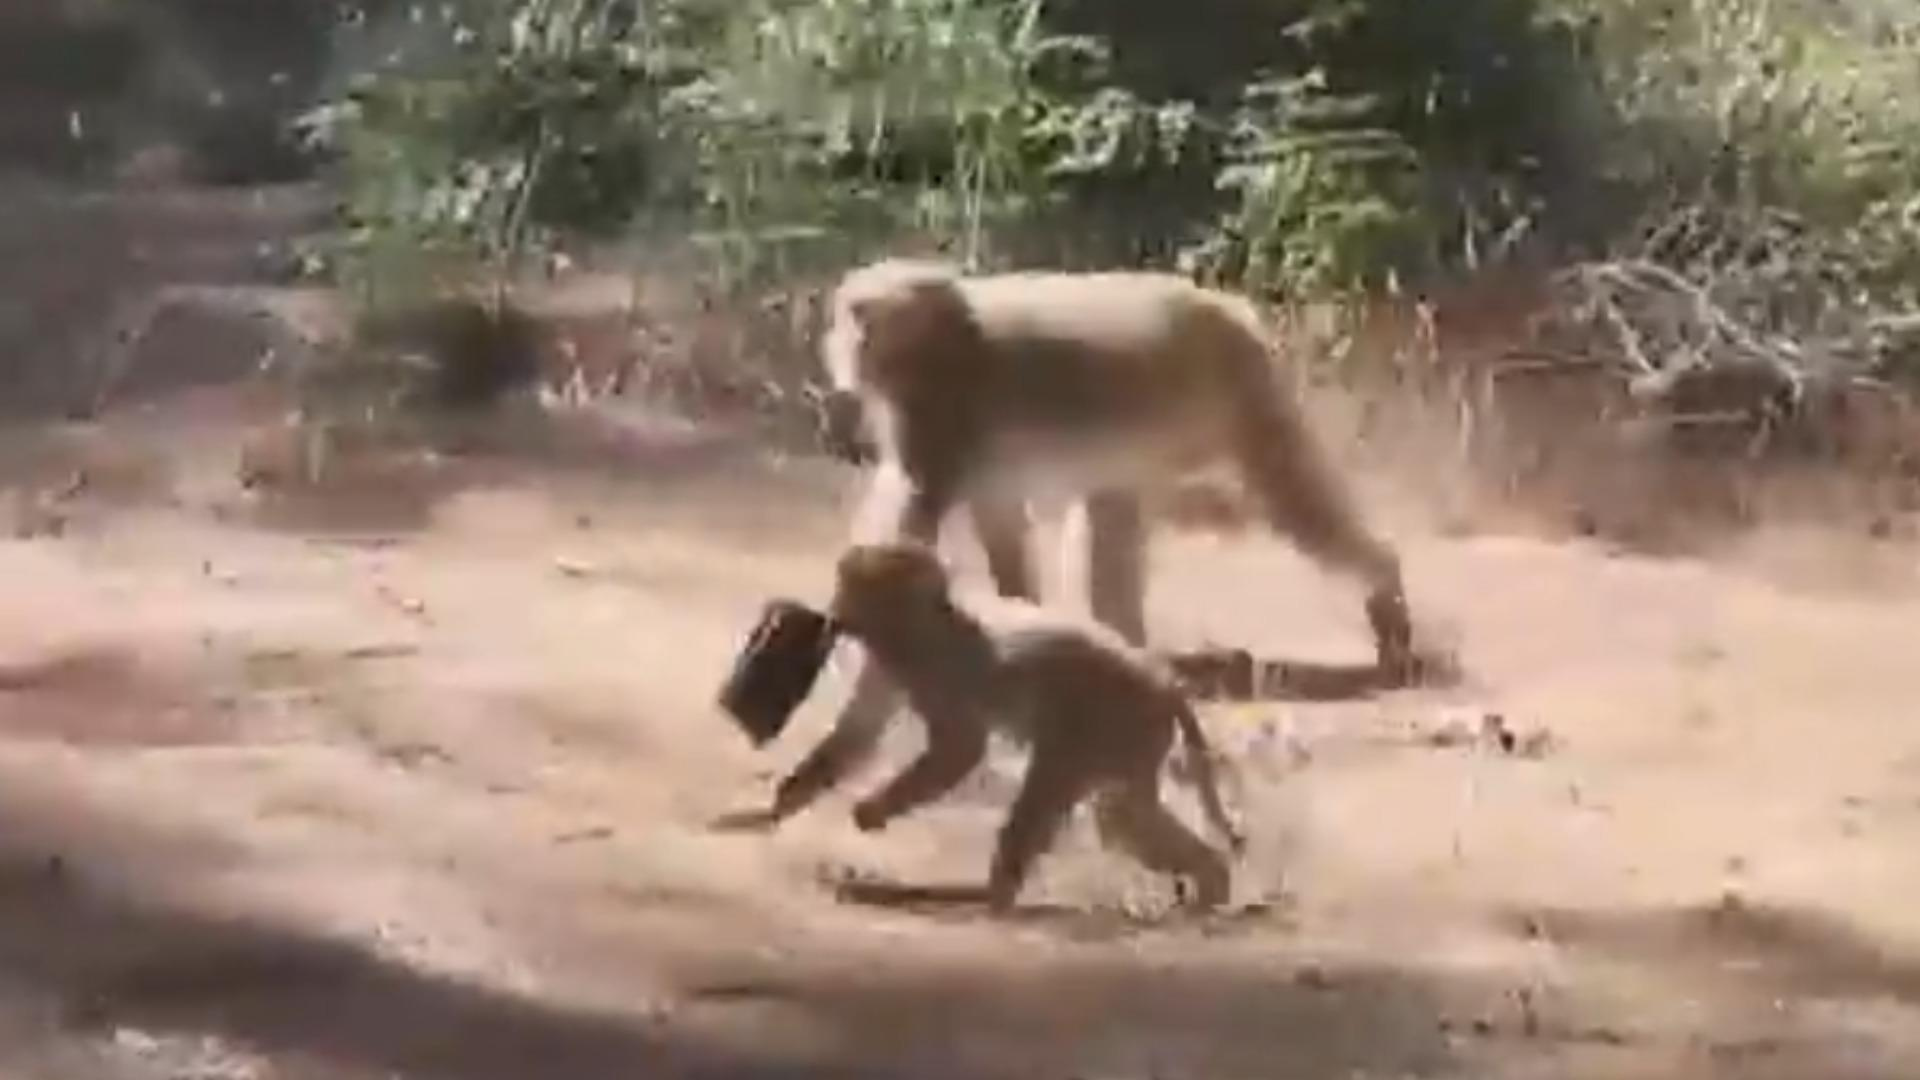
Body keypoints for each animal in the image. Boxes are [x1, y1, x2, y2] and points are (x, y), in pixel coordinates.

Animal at [766, 258, 1420, 823]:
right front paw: (1011, 620)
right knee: (1112, 507)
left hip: (1239, 392)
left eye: (866, 318)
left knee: (1287, 491)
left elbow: (915, 510)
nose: (851, 345)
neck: (943, 335)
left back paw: (1384, 589)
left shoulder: (940, 408)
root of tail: (1232, 312)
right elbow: (998, 518)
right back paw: (1128, 648)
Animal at [818, 541, 1244, 913]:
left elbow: (960, 750)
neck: (930, 621)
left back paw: (987, 897)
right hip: (1135, 737)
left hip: (1115, 720)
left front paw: (873, 809)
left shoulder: (938, 671)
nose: (832, 612)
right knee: (1125, 818)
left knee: (1056, 783)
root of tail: (1164, 683)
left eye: (849, 587)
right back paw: (1212, 878)